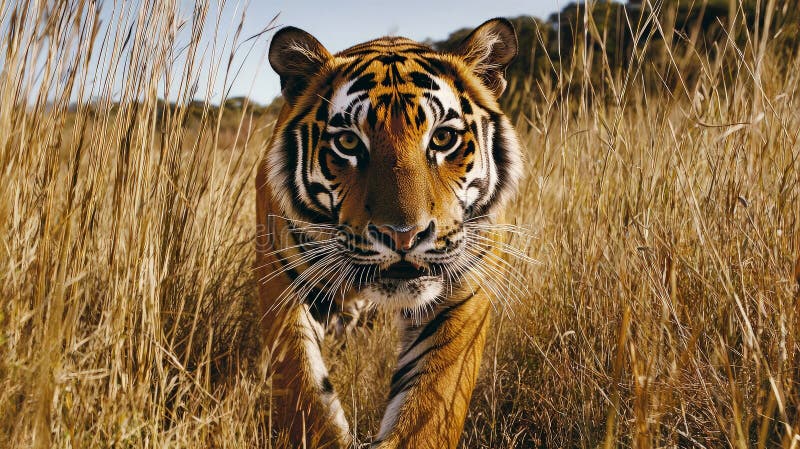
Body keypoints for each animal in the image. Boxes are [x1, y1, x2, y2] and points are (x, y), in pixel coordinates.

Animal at [254, 18, 523, 448]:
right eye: (349, 142)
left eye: (442, 138)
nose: (403, 236)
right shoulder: (281, 282)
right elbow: (305, 391)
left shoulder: (464, 291)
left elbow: (431, 400)